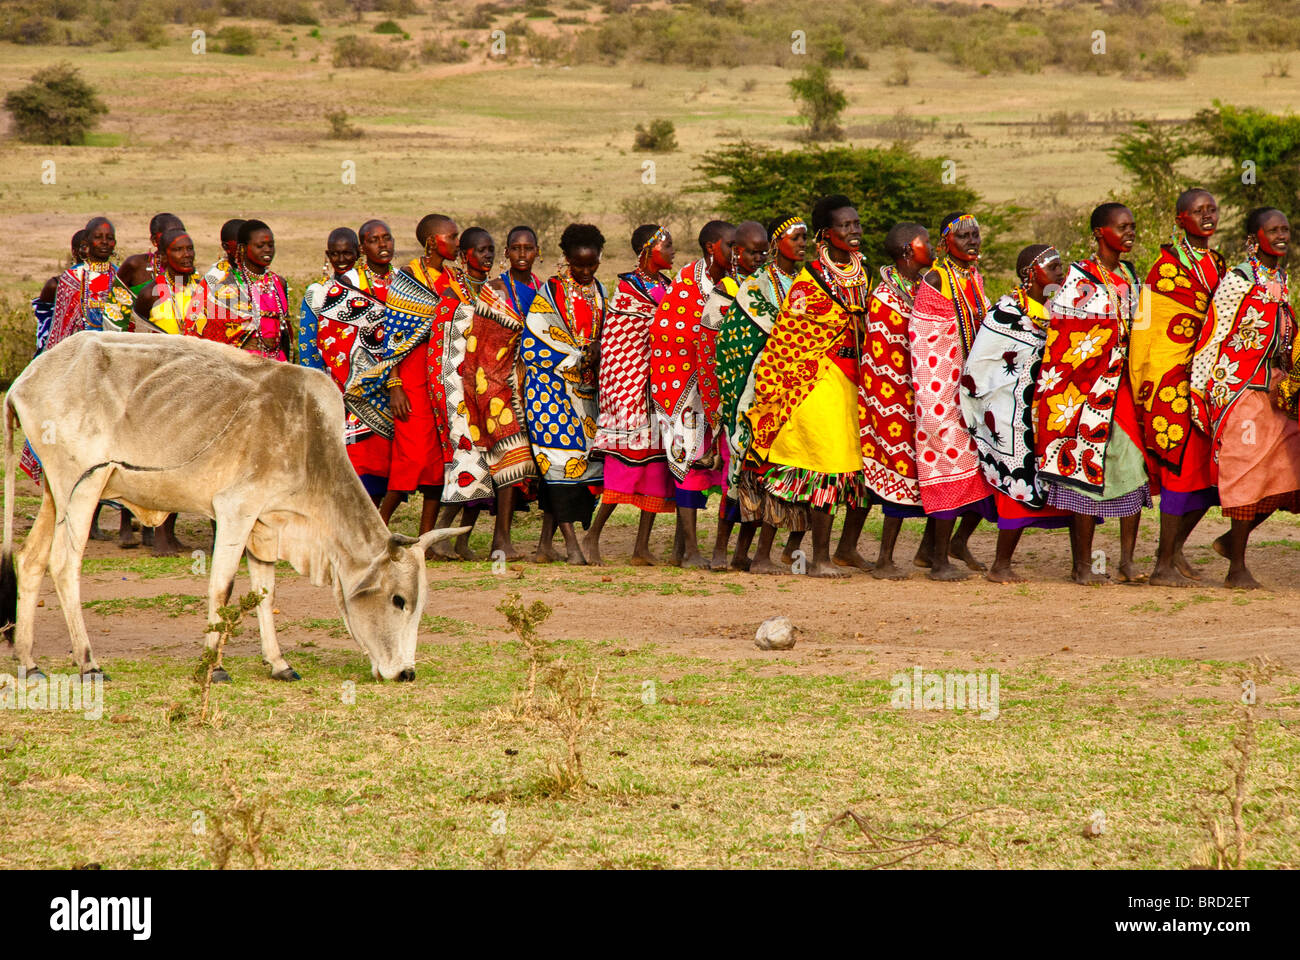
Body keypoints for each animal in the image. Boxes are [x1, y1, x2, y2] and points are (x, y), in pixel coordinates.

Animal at [1, 332, 467, 683]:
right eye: (398, 600)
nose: (406, 673)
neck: (309, 443)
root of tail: (26, 378)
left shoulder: (266, 523)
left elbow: (265, 592)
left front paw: (278, 663)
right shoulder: (235, 511)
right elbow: (221, 586)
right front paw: (215, 666)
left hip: (55, 493)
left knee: (31, 560)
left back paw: (29, 661)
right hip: (83, 486)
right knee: (64, 565)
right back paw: (87, 662)